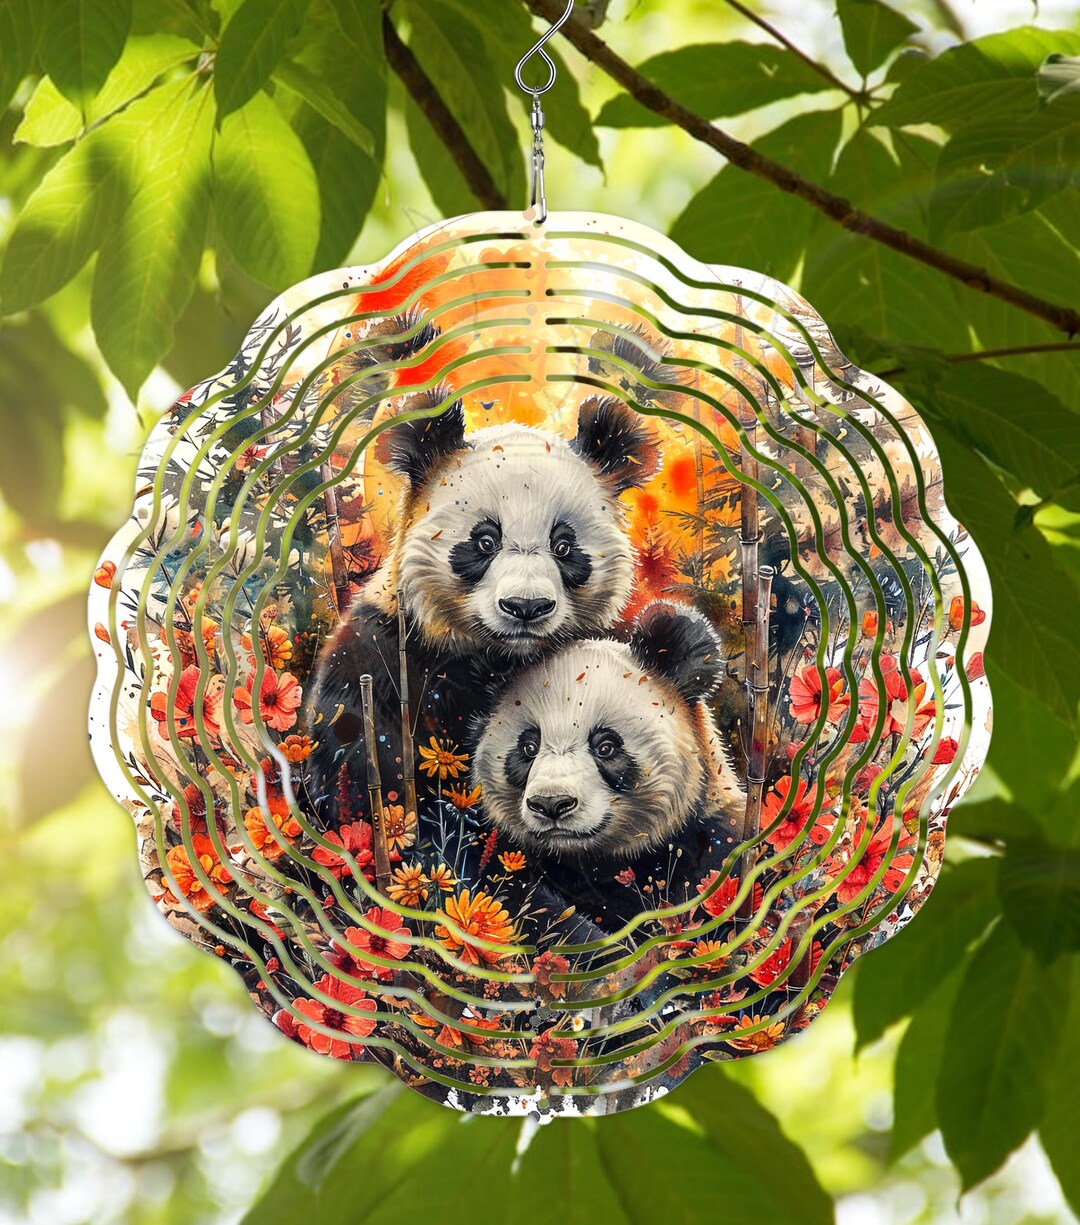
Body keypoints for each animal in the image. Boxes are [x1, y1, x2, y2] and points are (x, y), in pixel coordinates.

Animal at [304, 394, 662, 827]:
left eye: (563, 546)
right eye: (485, 541)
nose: (526, 606)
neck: (496, 656)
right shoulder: (379, 661)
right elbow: (359, 765)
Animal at [472, 602, 745, 936]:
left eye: (606, 747)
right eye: (529, 748)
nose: (551, 804)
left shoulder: (713, 844)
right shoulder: (506, 857)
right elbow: (525, 907)